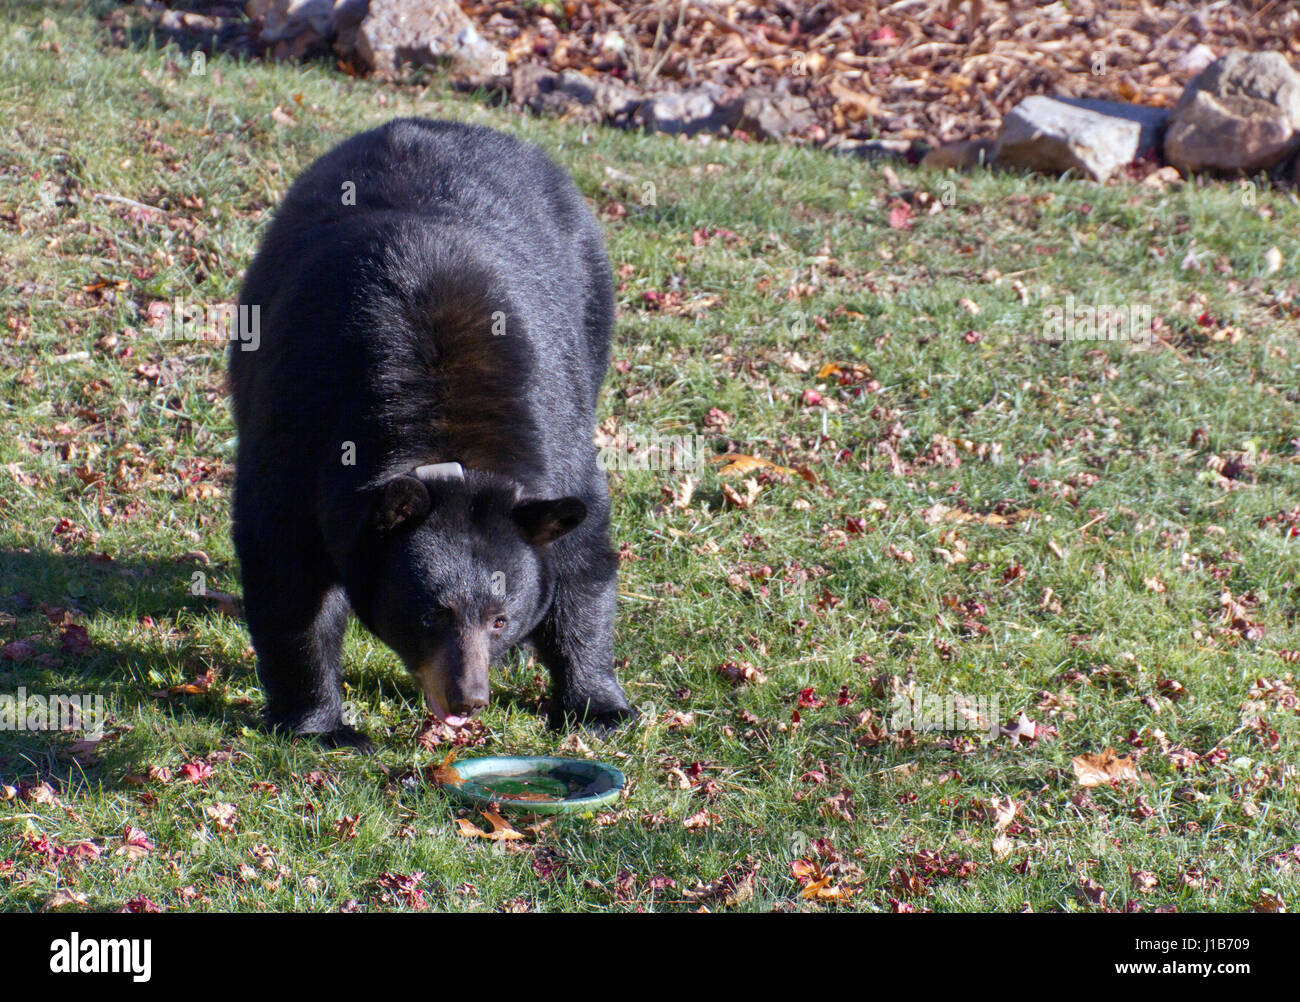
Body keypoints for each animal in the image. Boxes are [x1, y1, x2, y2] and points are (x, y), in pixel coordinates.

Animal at [228, 118, 636, 748]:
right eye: (431, 614)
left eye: (499, 618)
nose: (469, 698)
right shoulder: (300, 424)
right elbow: (287, 569)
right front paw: (321, 725)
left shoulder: (558, 431)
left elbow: (581, 556)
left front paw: (598, 706)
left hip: (592, 303)